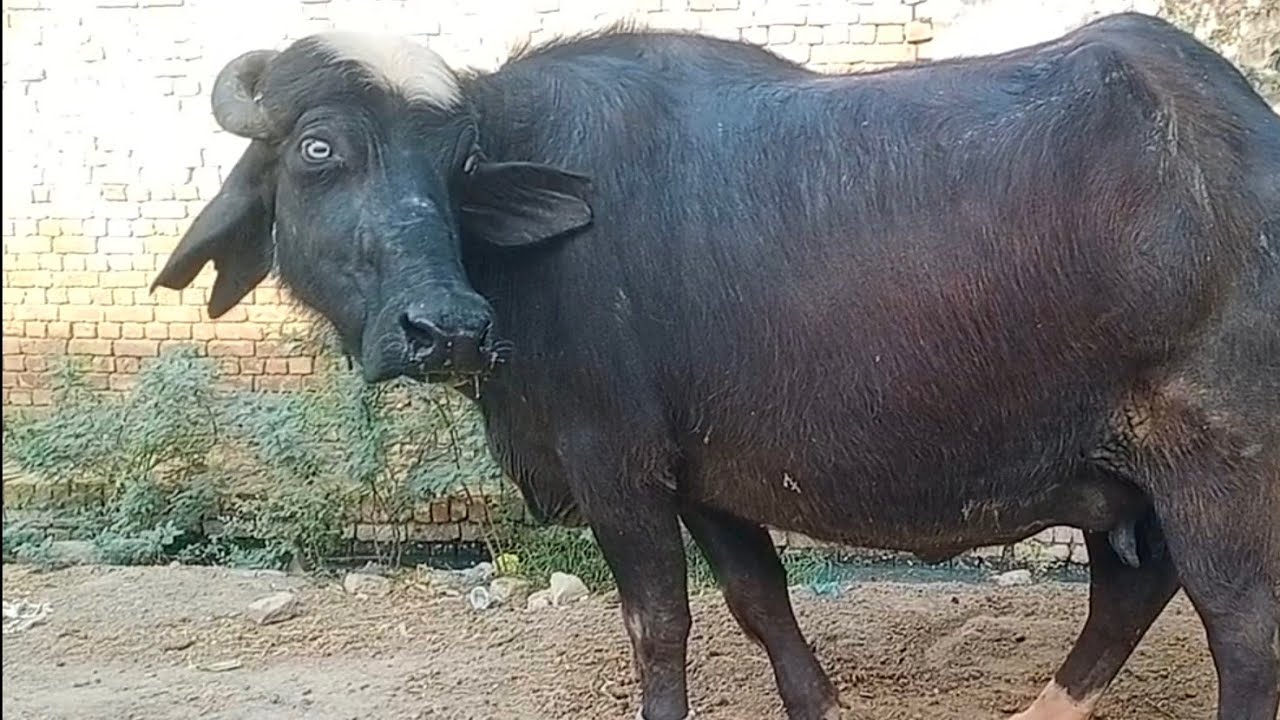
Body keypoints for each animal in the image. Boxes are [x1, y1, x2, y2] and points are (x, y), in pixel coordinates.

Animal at [151, 13, 1279, 720]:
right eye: (319, 151)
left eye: (459, 165)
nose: (450, 328)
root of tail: (1247, 133)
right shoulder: (706, 478)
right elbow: (758, 601)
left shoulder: (615, 464)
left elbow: (658, 622)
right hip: (1117, 469)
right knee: (1131, 587)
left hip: (1216, 460)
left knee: (1238, 629)